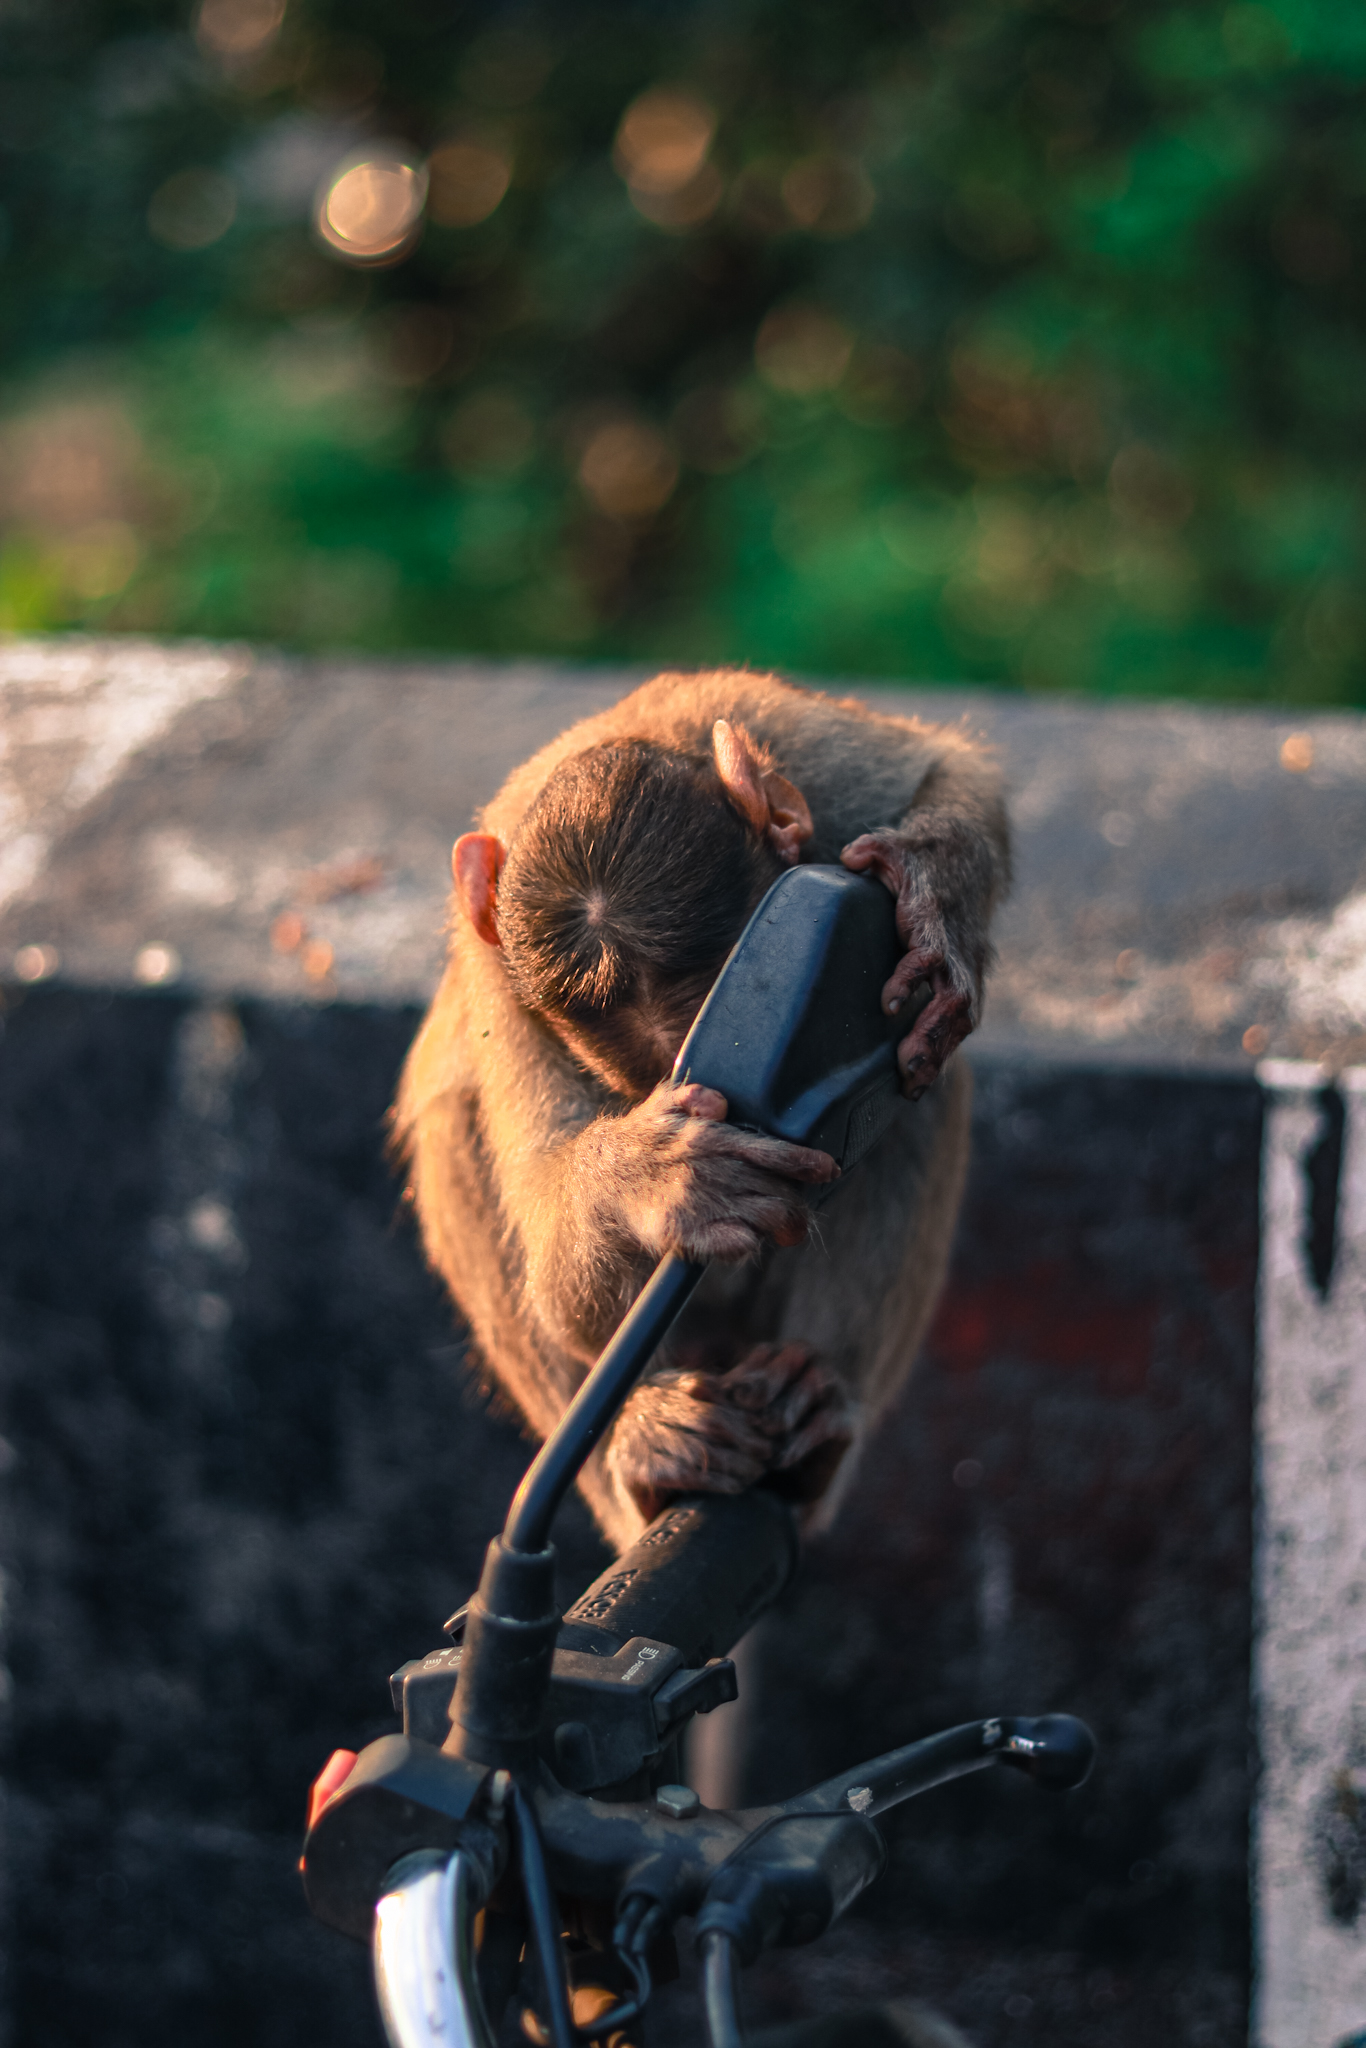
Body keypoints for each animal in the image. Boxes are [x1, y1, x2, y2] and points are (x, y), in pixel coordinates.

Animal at [393, 670, 1009, 1555]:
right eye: (671, 1087)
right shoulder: (503, 994)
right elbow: (554, 1265)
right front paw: (653, 1178)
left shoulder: (804, 753)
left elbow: (955, 770)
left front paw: (937, 890)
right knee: (454, 1131)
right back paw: (650, 1449)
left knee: (923, 1094)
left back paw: (820, 1406)